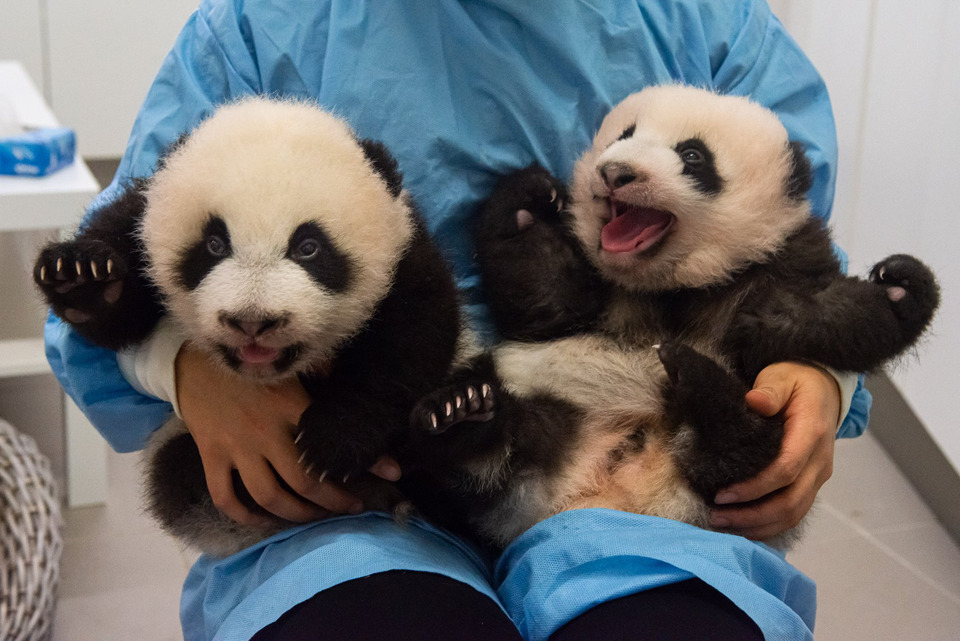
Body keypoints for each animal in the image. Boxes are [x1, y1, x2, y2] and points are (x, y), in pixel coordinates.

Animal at [34, 97, 469, 556]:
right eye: (214, 244)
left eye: (308, 247)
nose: (252, 321)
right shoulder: (143, 216)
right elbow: (116, 306)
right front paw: (81, 277)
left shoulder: (403, 250)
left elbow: (414, 335)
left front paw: (333, 438)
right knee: (179, 471)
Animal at [410, 85, 941, 549]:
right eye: (623, 135)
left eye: (693, 157)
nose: (616, 172)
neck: (672, 283)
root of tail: (611, 495)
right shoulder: (589, 292)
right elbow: (545, 300)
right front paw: (528, 198)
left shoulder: (776, 259)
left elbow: (814, 316)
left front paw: (900, 286)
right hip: (548, 400)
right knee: (481, 461)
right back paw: (462, 413)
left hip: (736, 481)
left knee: (746, 456)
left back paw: (700, 384)